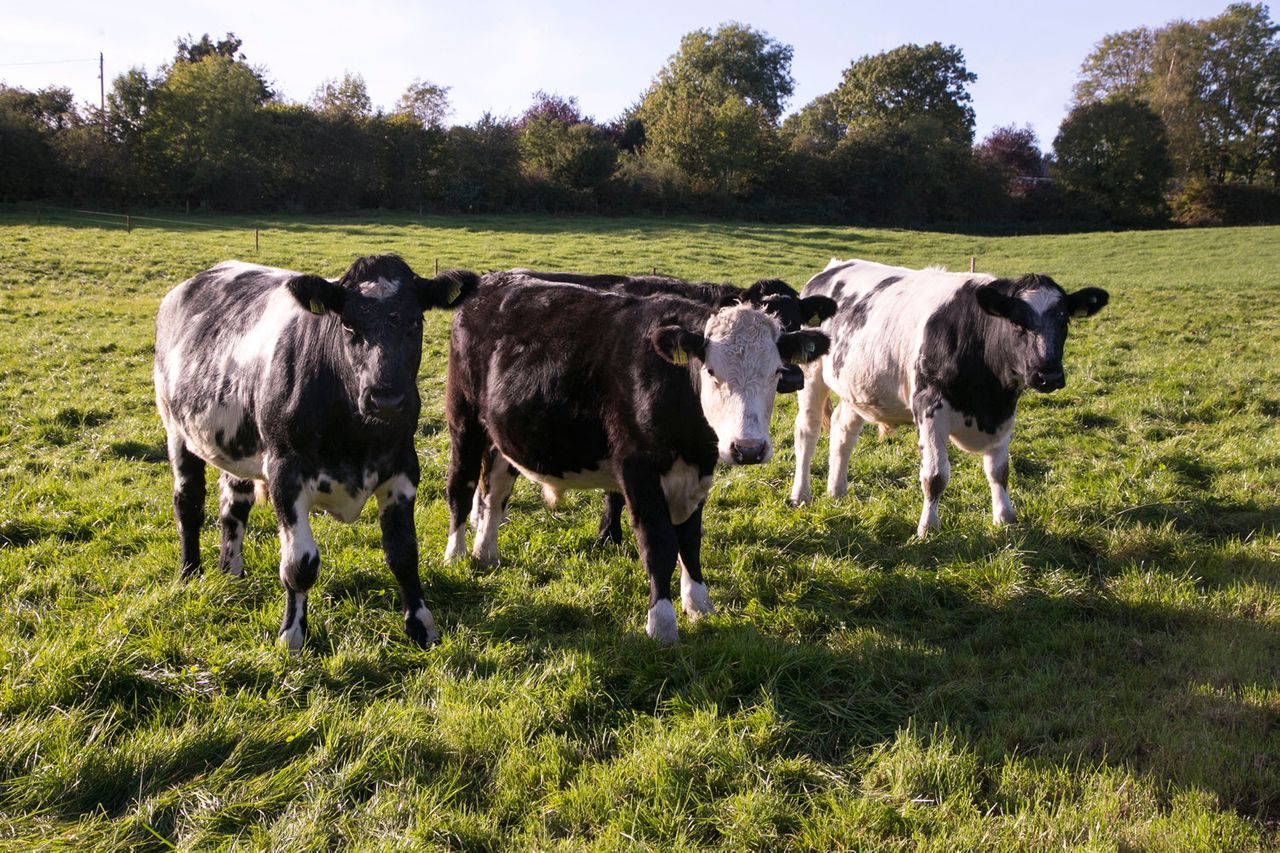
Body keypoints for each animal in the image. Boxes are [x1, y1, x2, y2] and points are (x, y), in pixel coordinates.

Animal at [154, 255, 478, 650]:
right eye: (348, 324)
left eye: (415, 321)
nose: (386, 399)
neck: (356, 437)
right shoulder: (284, 474)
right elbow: (300, 563)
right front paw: (293, 635)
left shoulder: (403, 468)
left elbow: (403, 552)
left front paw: (420, 625)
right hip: (176, 430)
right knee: (188, 502)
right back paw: (189, 573)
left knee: (234, 505)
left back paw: (231, 571)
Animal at [789, 258, 1108, 537]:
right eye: (1016, 322)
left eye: (1064, 321)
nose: (1049, 375)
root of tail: (830, 269)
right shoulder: (929, 407)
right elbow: (935, 476)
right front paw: (928, 528)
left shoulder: (1005, 413)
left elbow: (999, 471)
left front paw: (1005, 520)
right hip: (811, 374)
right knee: (808, 431)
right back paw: (801, 494)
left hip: (857, 387)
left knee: (843, 431)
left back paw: (837, 491)